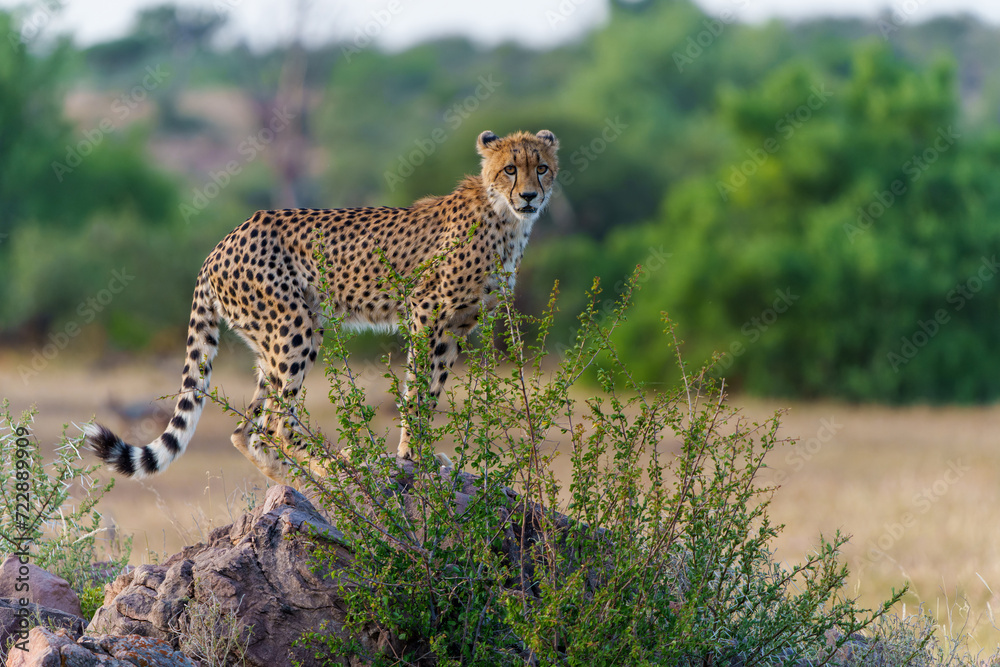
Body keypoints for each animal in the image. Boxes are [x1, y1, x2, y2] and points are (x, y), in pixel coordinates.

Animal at [84, 129, 559, 488]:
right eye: (510, 169)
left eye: (542, 167)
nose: (530, 196)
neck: (505, 218)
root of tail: (223, 242)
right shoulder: (426, 313)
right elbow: (415, 392)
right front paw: (411, 457)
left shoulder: (456, 327)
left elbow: (432, 392)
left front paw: (423, 457)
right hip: (297, 324)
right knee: (277, 424)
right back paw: (337, 467)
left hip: (275, 339)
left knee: (248, 432)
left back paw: (307, 485)